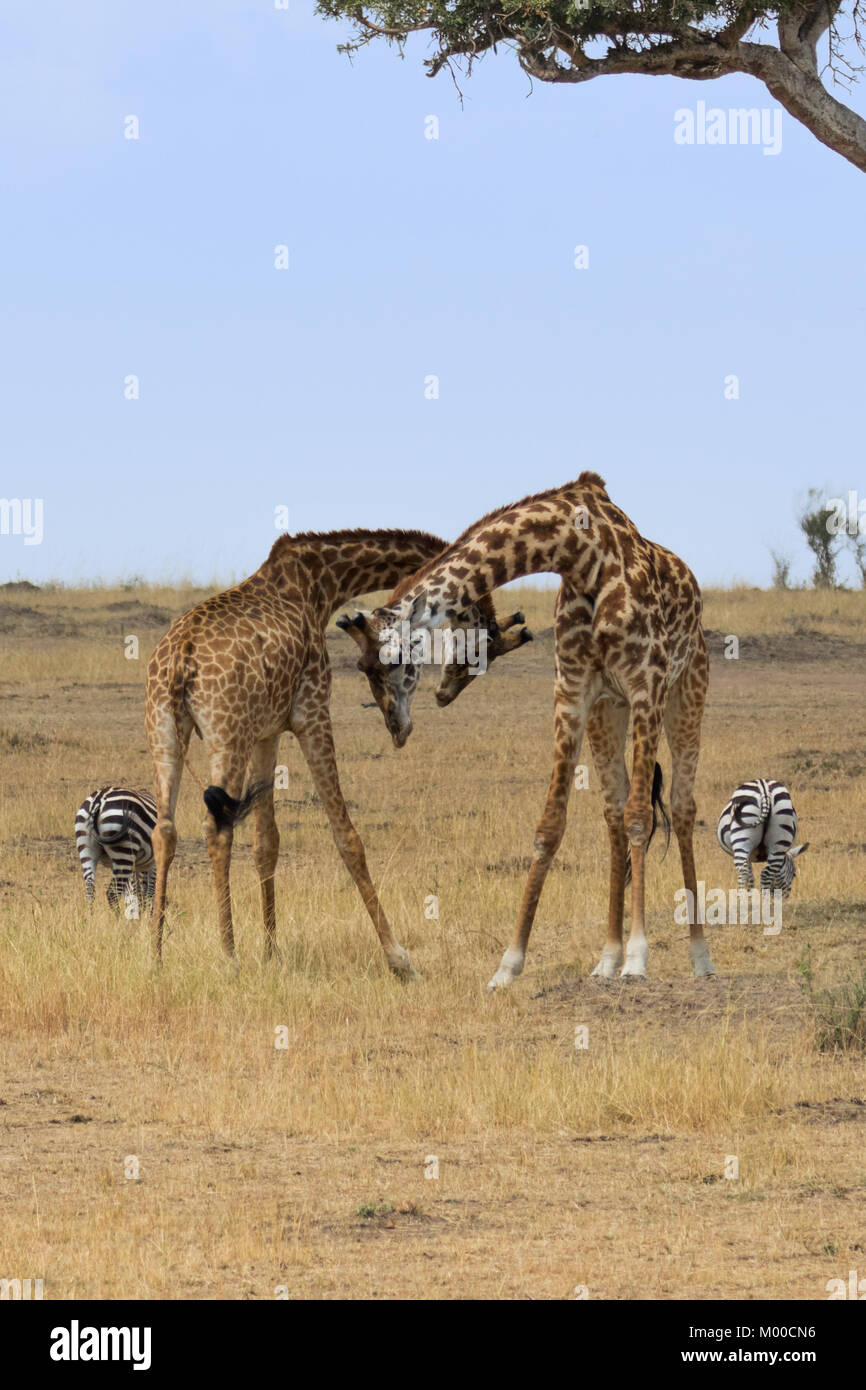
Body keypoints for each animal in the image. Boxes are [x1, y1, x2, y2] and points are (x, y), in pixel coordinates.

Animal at [144, 528, 530, 974]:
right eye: (479, 650)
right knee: (215, 827)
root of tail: (179, 660)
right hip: (227, 734)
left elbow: (266, 841)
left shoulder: (267, 732)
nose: (443, 696)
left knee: (165, 830)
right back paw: (228, 957)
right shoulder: (311, 713)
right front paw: (399, 959)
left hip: (164, 732)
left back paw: (156, 956)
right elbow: (347, 836)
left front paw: (272, 952)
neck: (321, 584)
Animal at [340, 473, 716, 989]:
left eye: (392, 660)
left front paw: (639, 959)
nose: (396, 727)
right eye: (361, 666)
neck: (583, 556)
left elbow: (642, 817)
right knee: (613, 813)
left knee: (679, 806)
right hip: (608, 712)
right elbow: (551, 827)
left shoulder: (647, 685)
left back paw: (699, 957)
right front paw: (508, 966)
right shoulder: (574, 694)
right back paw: (606, 958)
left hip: (686, 692)